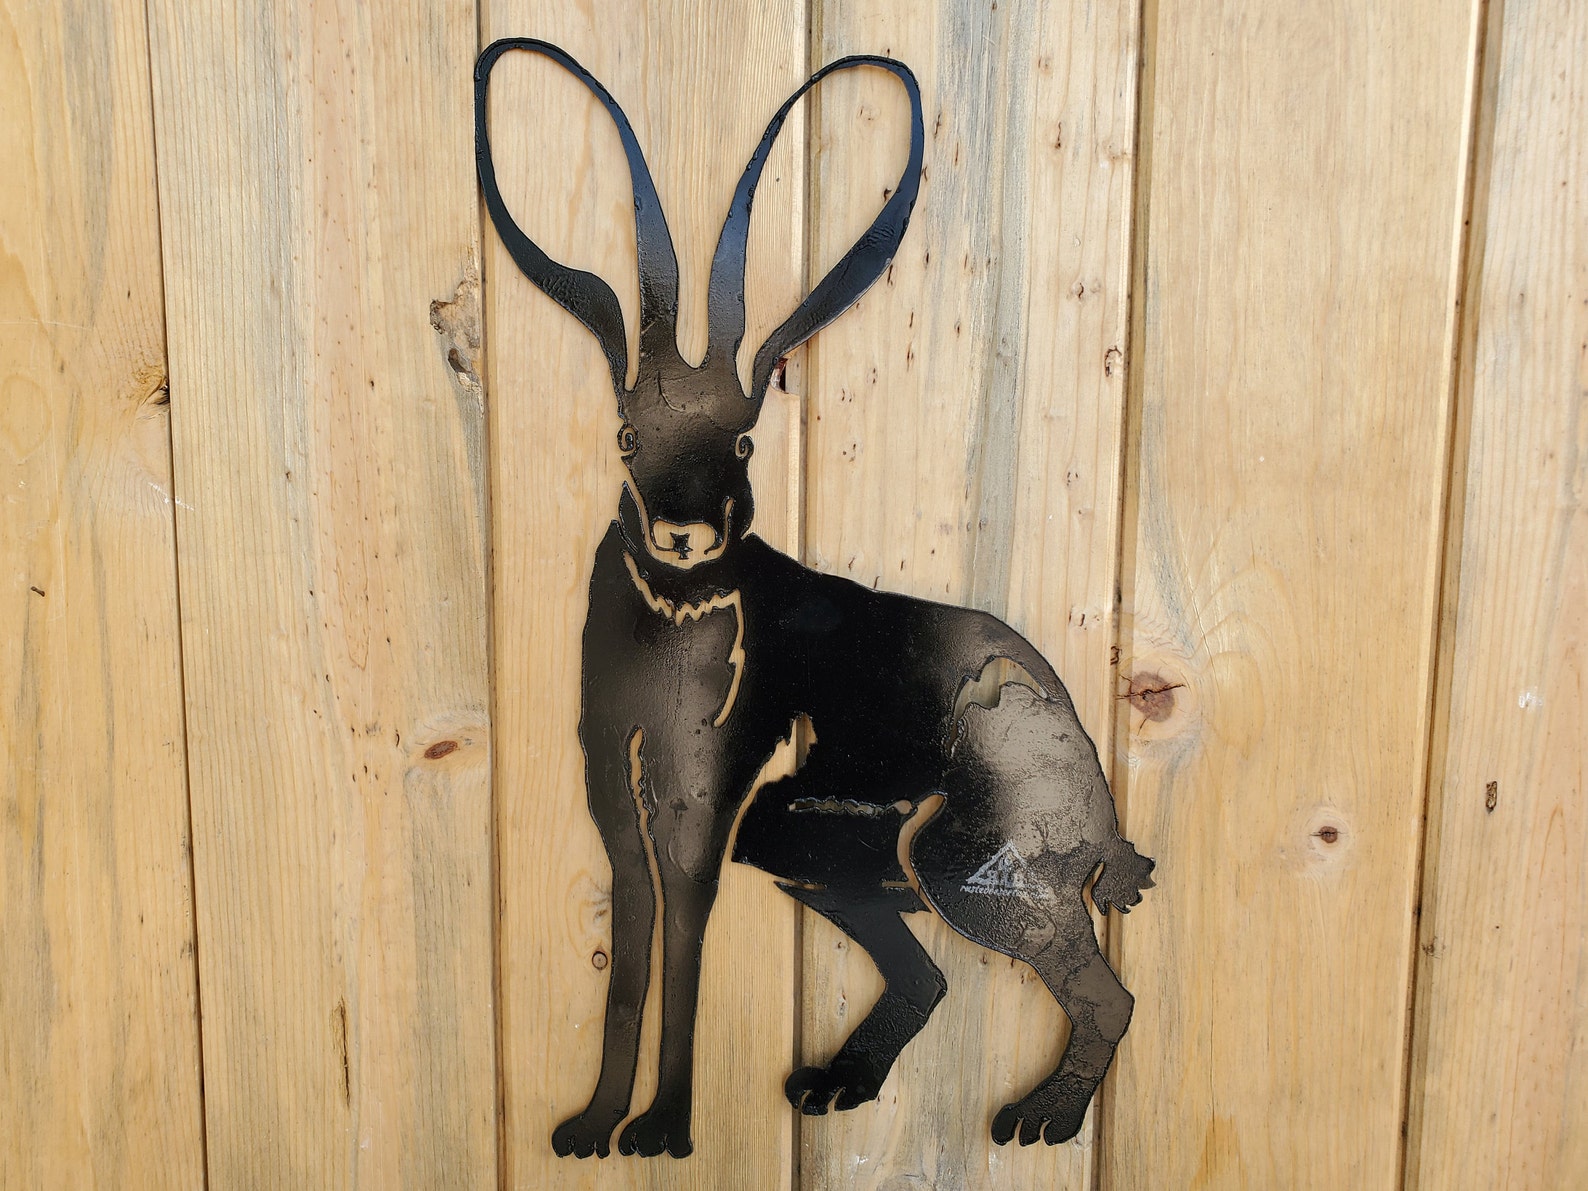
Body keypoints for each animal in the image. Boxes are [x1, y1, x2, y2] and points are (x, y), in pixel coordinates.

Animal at [476, 37, 1154, 1160]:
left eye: (746, 442)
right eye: (627, 437)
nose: (687, 536)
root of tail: (1101, 816)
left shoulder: (705, 791)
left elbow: (685, 934)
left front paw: (662, 1130)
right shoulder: (616, 788)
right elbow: (631, 940)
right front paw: (593, 1124)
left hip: (955, 863)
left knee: (1109, 994)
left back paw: (1039, 1117)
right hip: (822, 850)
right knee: (929, 978)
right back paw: (835, 1084)